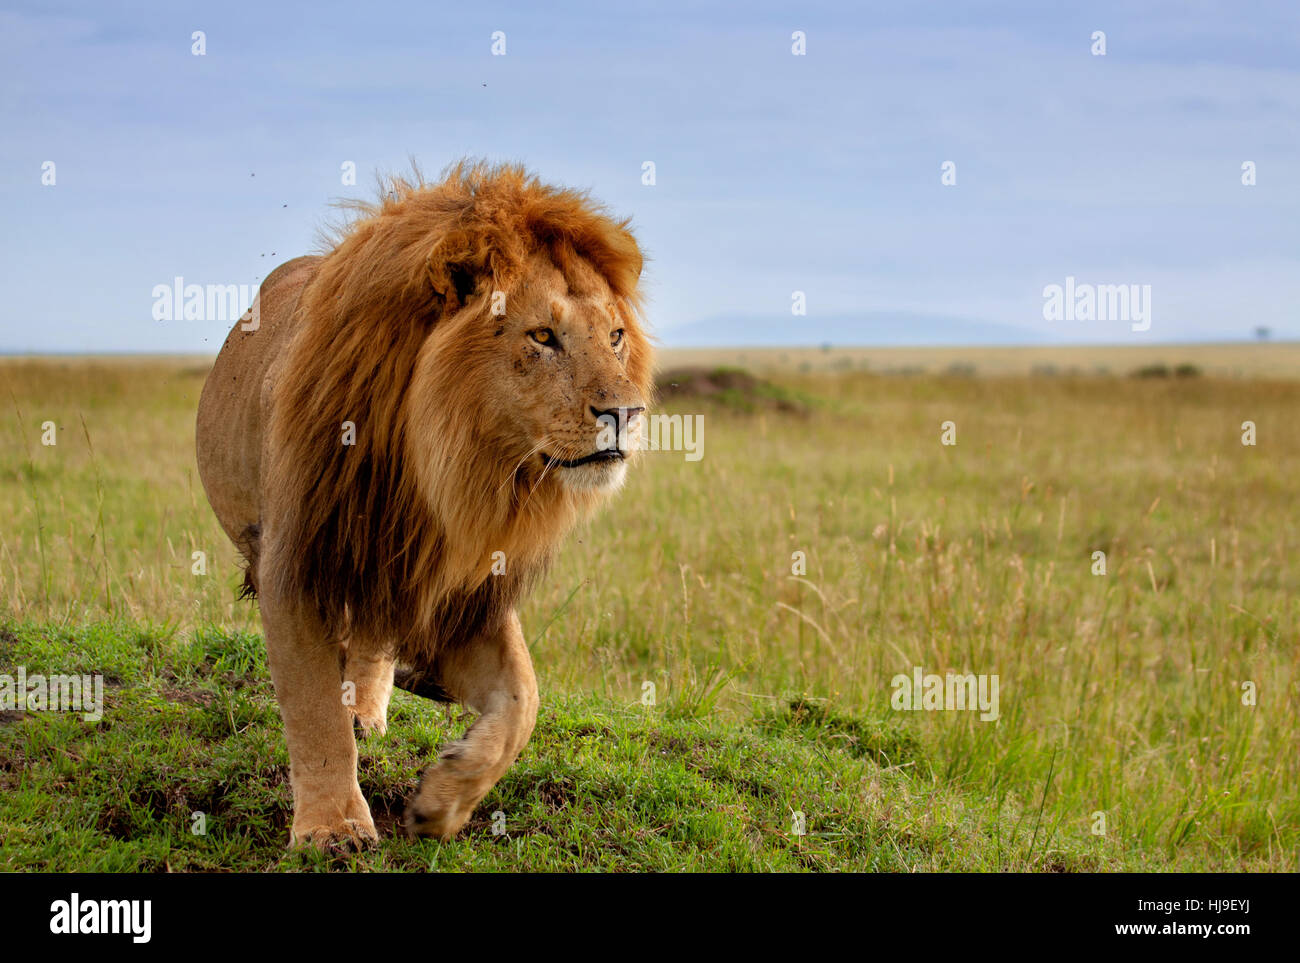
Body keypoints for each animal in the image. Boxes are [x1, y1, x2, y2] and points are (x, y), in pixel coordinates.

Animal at [195, 161, 652, 849]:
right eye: (543, 336)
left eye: (617, 336)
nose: (626, 414)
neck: (447, 470)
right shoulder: (298, 563)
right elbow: (312, 710)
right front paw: (333, 829)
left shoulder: (466, 590)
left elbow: (524, 699)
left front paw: (443, 801)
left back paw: (374, 707)